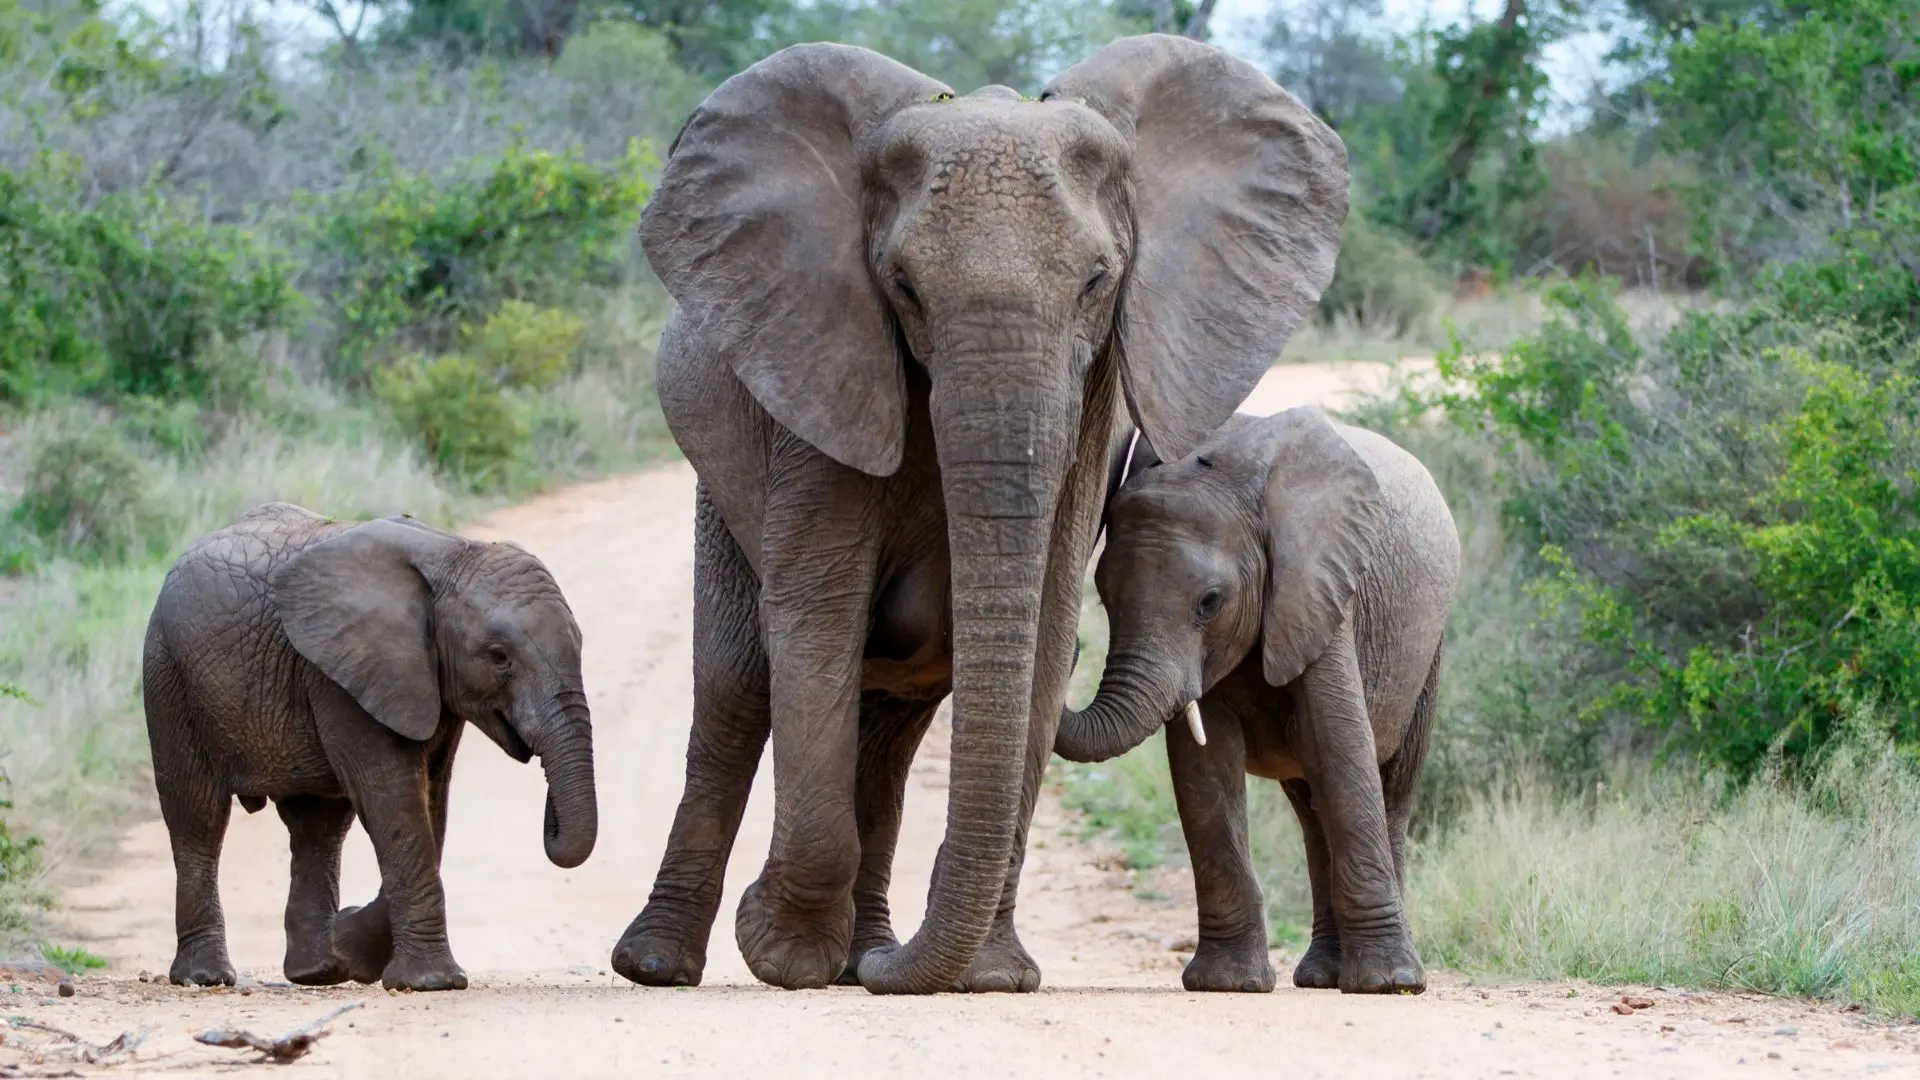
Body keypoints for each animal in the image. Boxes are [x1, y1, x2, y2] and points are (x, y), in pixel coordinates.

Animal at [141, 502, 597, 991]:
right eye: (499, 656)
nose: (550, 812)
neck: (452, 553)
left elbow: (430, 799)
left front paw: (352, 945)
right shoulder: (342, 673)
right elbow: (392, 797)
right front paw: (431, 981)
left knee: (318, 826)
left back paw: (319, 970)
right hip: (169, 672)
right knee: (199, 816)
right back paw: (206, 976)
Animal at [611, 34, 1349, 995]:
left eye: (1097, 282)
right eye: (902, 287)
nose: (887, 966)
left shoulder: (1093, 401)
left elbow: (1046, 623)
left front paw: (990, 977)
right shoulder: (824, 369)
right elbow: (815, 618)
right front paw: (784, 955)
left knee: (886, 733)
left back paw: (860, 954)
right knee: (738, 688)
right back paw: (672, 964)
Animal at [1056, 406, 1459, 995]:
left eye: (1209, 602)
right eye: (1105, 598)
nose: (1072, 647)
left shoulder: (1320, 590)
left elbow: (1338, 745)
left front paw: (1389, 984)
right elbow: (1204, 766)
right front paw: (1228, 984)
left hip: (1429, 650)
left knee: (1392, 790)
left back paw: (1376, 974)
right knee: (1312, 811)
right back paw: (1320, 975)